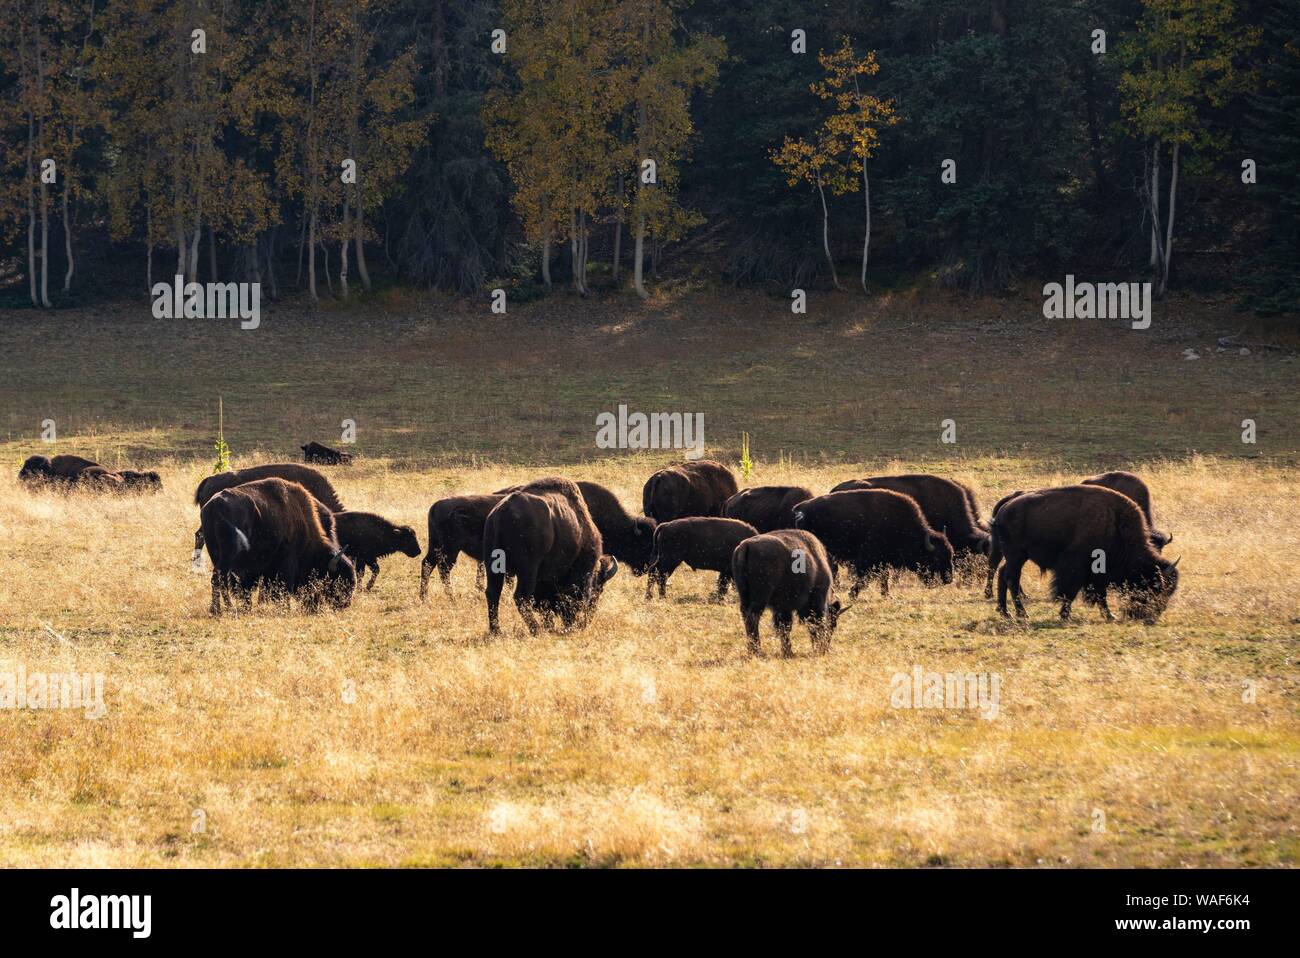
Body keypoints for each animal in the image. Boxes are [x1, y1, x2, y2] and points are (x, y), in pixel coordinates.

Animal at [200, 478, 356, 616]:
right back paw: (223, 609)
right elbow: (284, 587)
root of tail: (215, 505)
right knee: (220, 579)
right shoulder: (286, 562)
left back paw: (219, 609)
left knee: (218, 580)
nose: (344, 604)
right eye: (336, 578)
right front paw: (285, 608)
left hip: (216, 554)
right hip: (227, 556)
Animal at [483, 477, 618, 634]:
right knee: (520, 596)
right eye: (598, 589)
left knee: (493, 593)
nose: (584, 622)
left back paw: (496, 630)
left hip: (492, 566)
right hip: (528, 570)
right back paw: (535, 629)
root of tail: (502, 511)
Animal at [793, 489, 954, 597]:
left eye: (950, 555)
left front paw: (887, 594)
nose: (948, 580)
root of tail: (801, 510)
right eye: (935, 558)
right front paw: (853, 594)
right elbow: (865, 578)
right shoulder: (868, 560)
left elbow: (883, 576)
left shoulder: (882, 560)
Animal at [992, 484, 1179, 624]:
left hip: (1017, 557)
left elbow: (1100, 595)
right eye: (1154, 587)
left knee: (1003, 574)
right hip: (1016, 556)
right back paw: (1022, 614)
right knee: (1012, 579)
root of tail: (1005, 508)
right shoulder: (1077, 569)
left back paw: (1005, 612)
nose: (1150, 617)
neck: (1116, 525)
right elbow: (1071, 592)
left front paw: (1110, 616)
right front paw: (1065, 615)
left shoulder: (1098, 573)